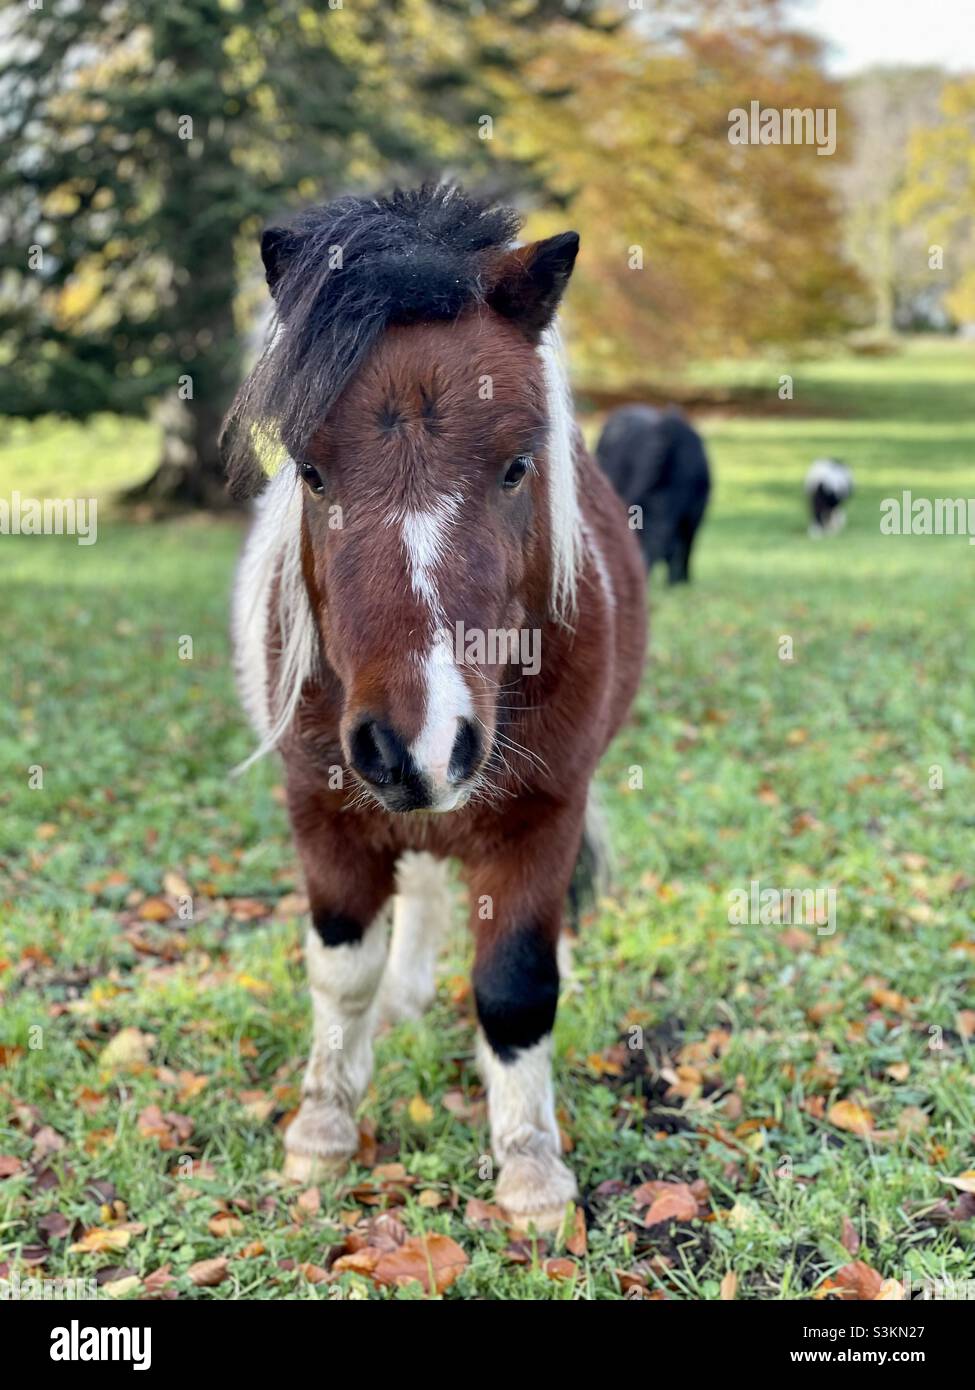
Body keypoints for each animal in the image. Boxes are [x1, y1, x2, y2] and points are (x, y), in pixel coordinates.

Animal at [224, 185, 647, 1231]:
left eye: (516, 467)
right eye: (310, 471)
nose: (414, 741)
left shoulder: (544, 817)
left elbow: (516, 987)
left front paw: (530, 1167)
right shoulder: (324, 811)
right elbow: (341, 972)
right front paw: (322, 1128)